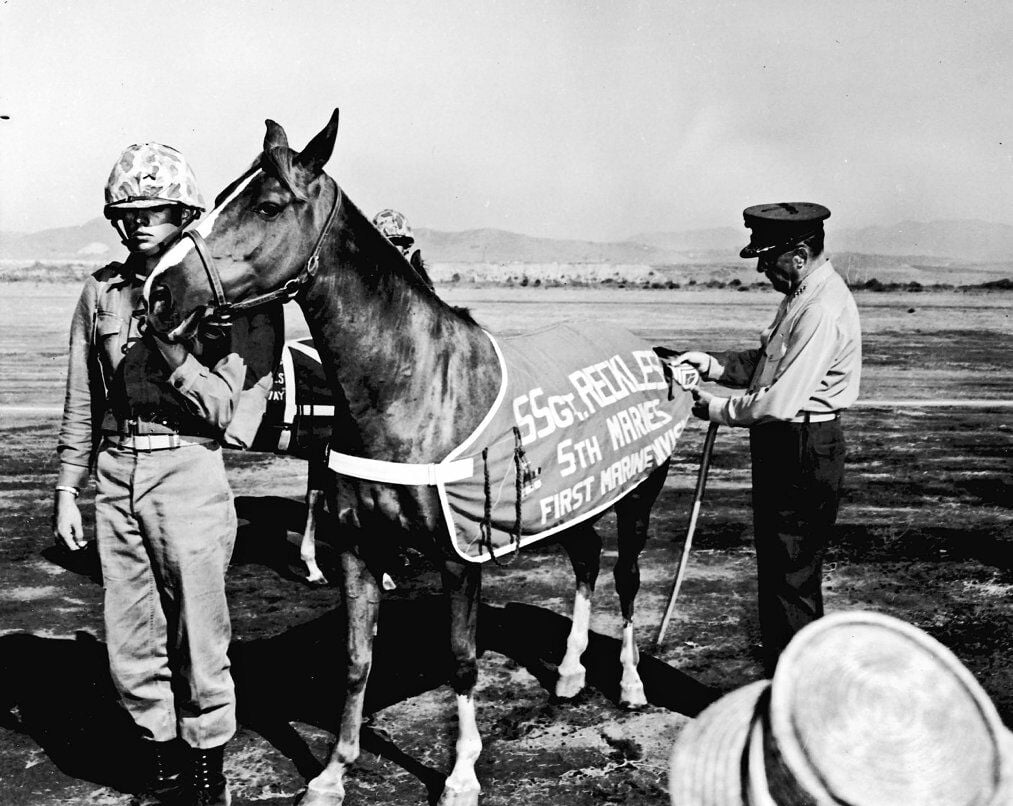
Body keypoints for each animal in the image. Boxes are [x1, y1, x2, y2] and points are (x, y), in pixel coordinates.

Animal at [144, 109, 691, 806]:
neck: (413, 390)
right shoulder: (358, 547)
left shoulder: (460, 555)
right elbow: (356, 660)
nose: (159, 292)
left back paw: (628, 685)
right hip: (578, 497)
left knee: (626, 579)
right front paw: (333, 772)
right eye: (214, 199)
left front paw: (460, 775)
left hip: (637, 496)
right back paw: (568, 674)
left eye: (267, 205)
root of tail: (656, 353)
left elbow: (462, 661)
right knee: (588, 559)